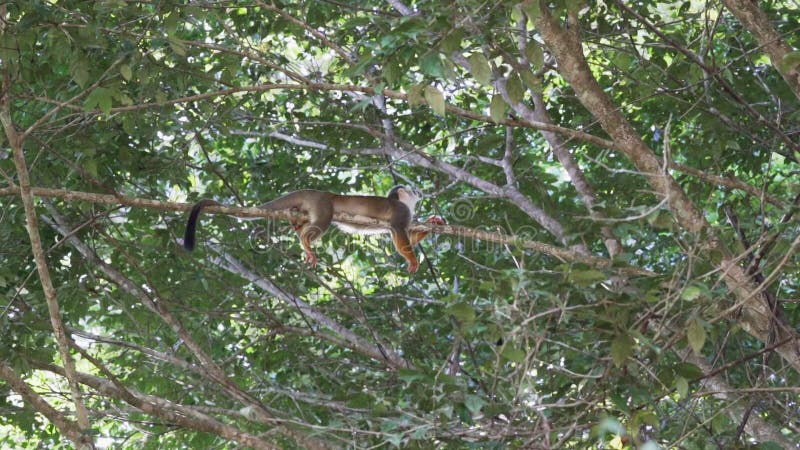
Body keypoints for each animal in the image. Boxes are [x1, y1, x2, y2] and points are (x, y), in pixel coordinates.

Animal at [183, 186, 445, 273]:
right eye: (412, 191)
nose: (419, 191)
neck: (406, 206)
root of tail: (315, 192)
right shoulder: (401, 211)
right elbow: (399, 234)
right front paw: (413, 259)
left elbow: (401, 238)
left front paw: (434, 223)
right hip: (323, 205)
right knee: (324, 221)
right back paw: (305, 242)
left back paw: (298, 228)